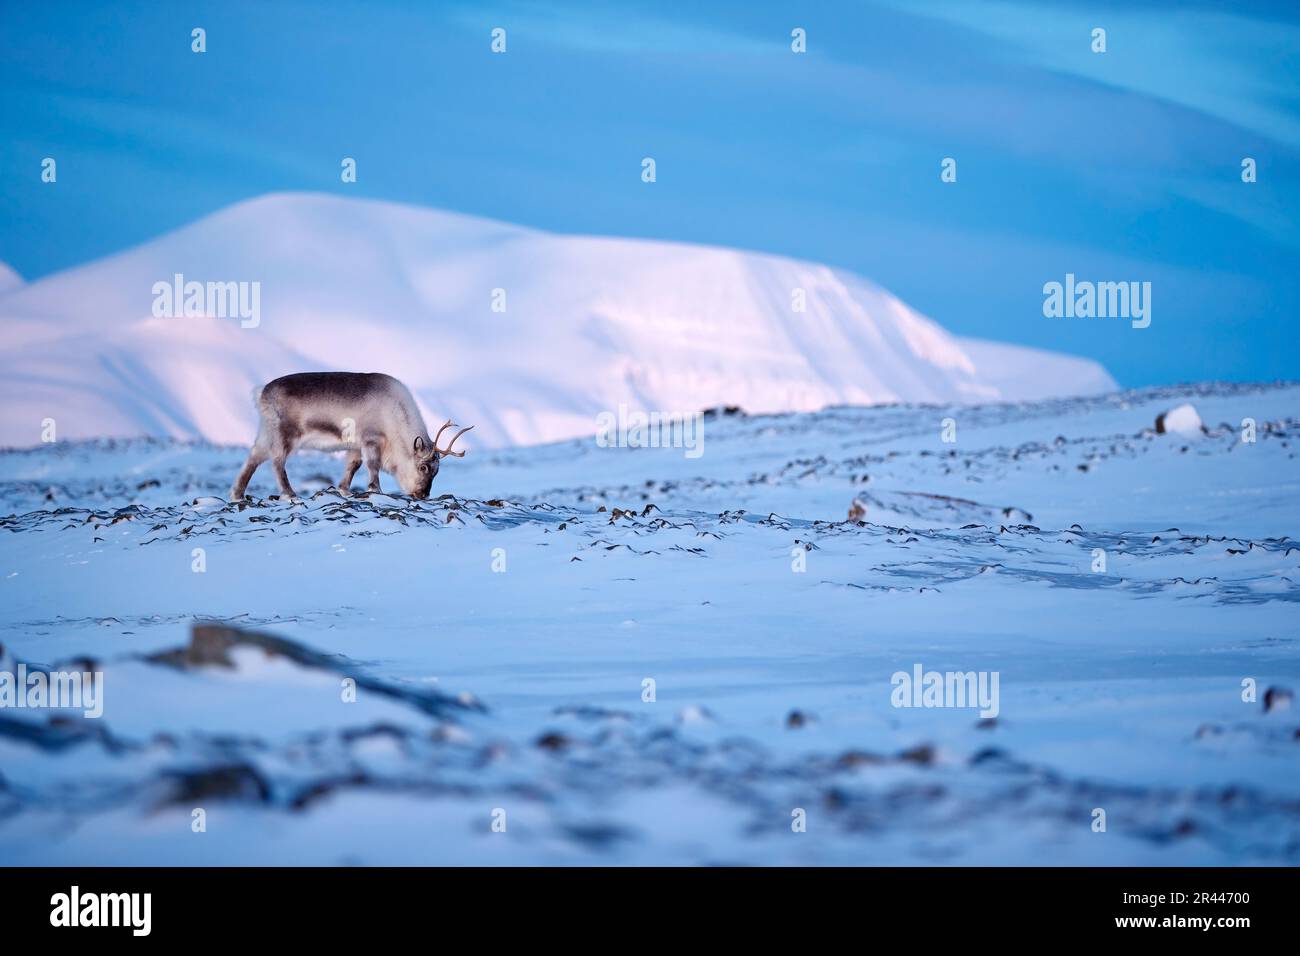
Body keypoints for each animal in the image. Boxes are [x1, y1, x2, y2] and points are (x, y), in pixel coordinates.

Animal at [230, 372, 473, 501]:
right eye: (423, 467)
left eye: (437, 471)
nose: (422, 494)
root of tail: (261, 393)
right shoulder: (371, 439)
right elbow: (372, 466)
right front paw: (375, 489)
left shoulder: (355, 446)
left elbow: (352, 466)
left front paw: (344, 490)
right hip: (284, 435)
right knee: (277, 462)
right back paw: (290, 494)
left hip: (265, 434)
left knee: (253, 458)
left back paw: (237, 494)